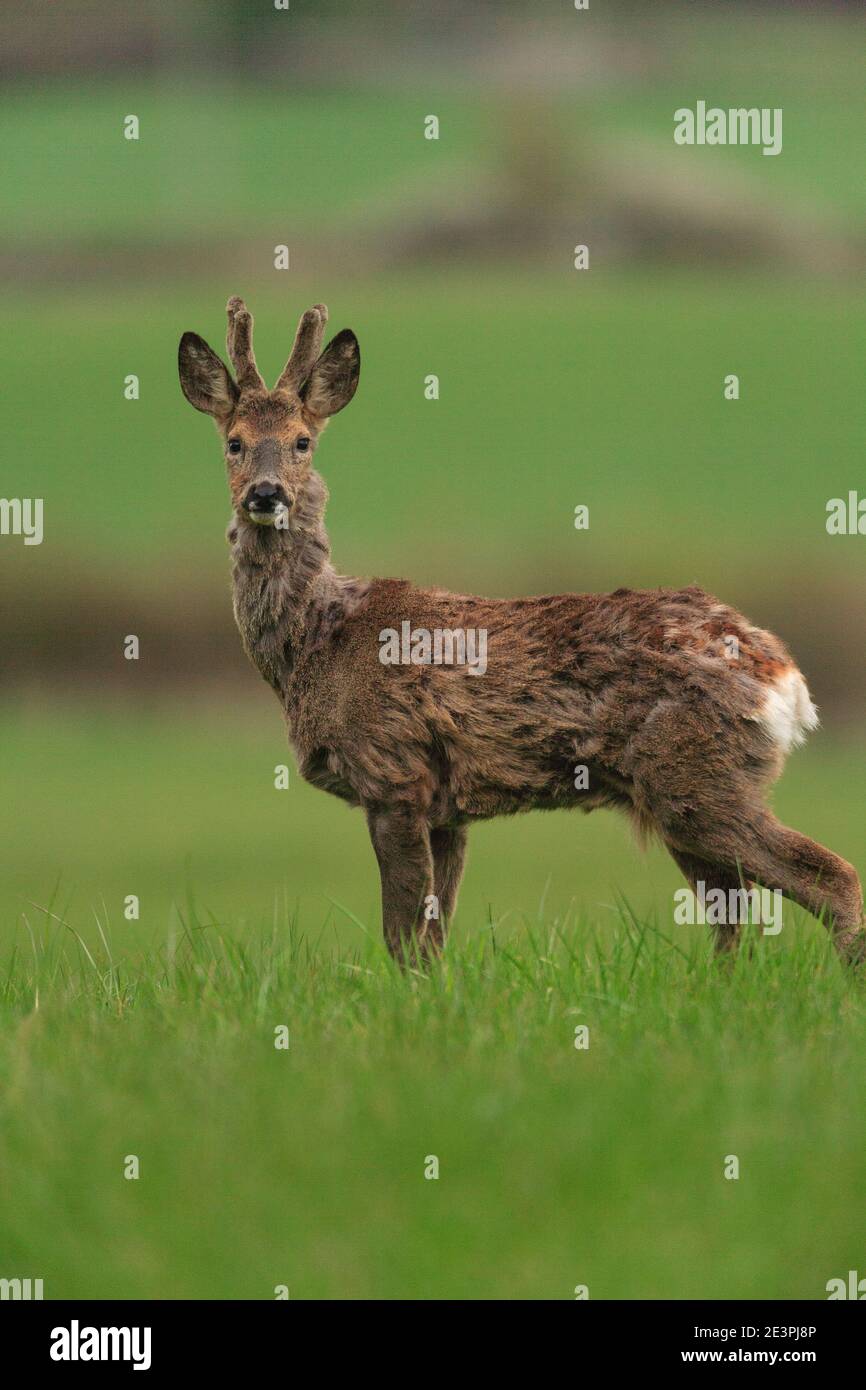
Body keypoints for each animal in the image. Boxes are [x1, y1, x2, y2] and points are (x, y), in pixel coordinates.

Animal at [178, 298, 864, 968]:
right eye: (234, 443)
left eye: (302, 442)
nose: (266, 495)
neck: (319, 639)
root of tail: (783, 676)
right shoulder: (445, 809)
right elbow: (433, 938)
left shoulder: (393, 773)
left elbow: (402, 938)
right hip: (689, 795)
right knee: (734, 920)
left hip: (697, 778)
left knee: (831, 877)